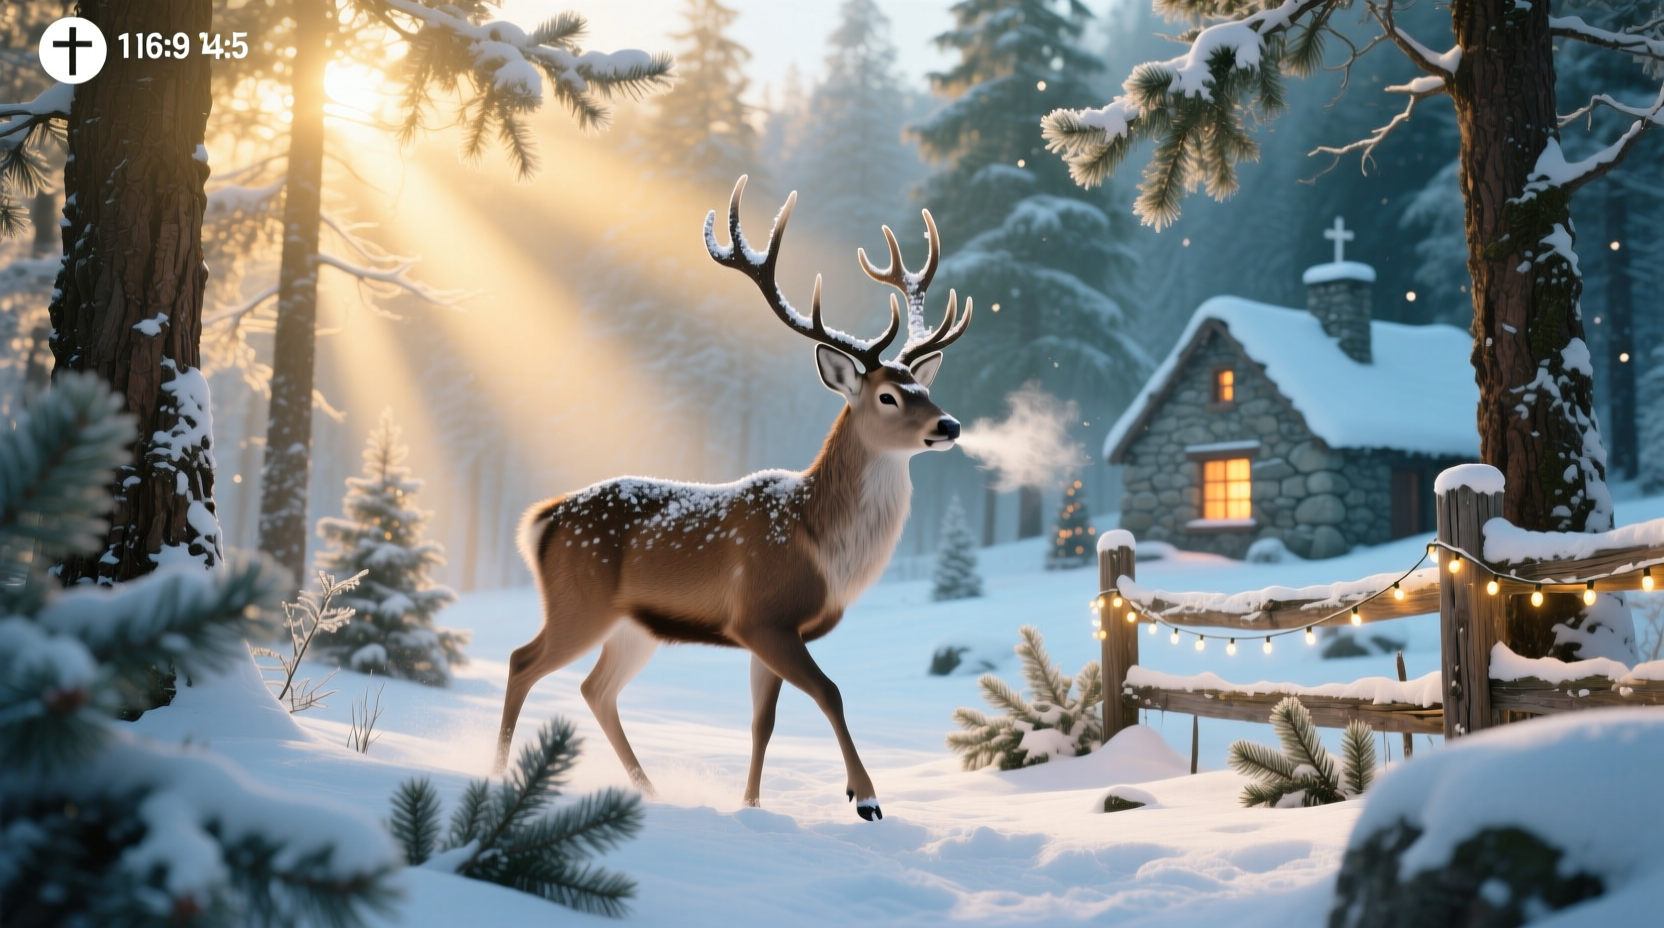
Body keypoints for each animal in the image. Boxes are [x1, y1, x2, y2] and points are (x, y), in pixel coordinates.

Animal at [496, 176, 971, 821]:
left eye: (925, 388)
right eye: (889, 397)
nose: (949, 425)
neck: (819, 543)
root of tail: (542, 520)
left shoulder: (768, 631)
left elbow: (762, 722)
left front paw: (752, 807)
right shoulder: (762, 615)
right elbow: (831, 691)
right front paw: (866, 797)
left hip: (632, 625)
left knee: (595, 688)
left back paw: (650, 789)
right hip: (579, 600)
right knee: (523, 661)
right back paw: (494, 776)